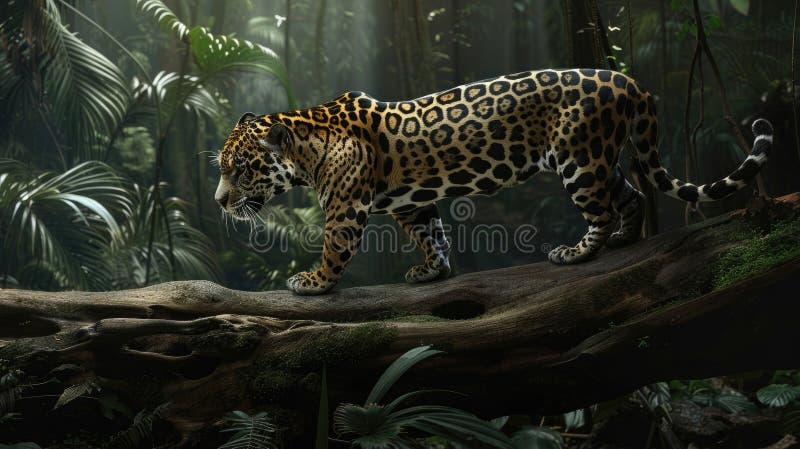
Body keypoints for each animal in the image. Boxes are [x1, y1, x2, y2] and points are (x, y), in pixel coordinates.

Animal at [214, 68, 773, 295]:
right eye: (222, 168)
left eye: (239, 169)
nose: (219, 202)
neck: (307, 143)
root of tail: (632, 82)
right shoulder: (410, 204)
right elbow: (432, 234)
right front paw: (433, 272)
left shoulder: (346, 208)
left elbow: (335, 248)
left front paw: (314, 283)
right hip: (600, 157)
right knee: (631, 194)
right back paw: (624, 239)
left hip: (578, 159)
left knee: (600, 208)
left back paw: (578, 252)